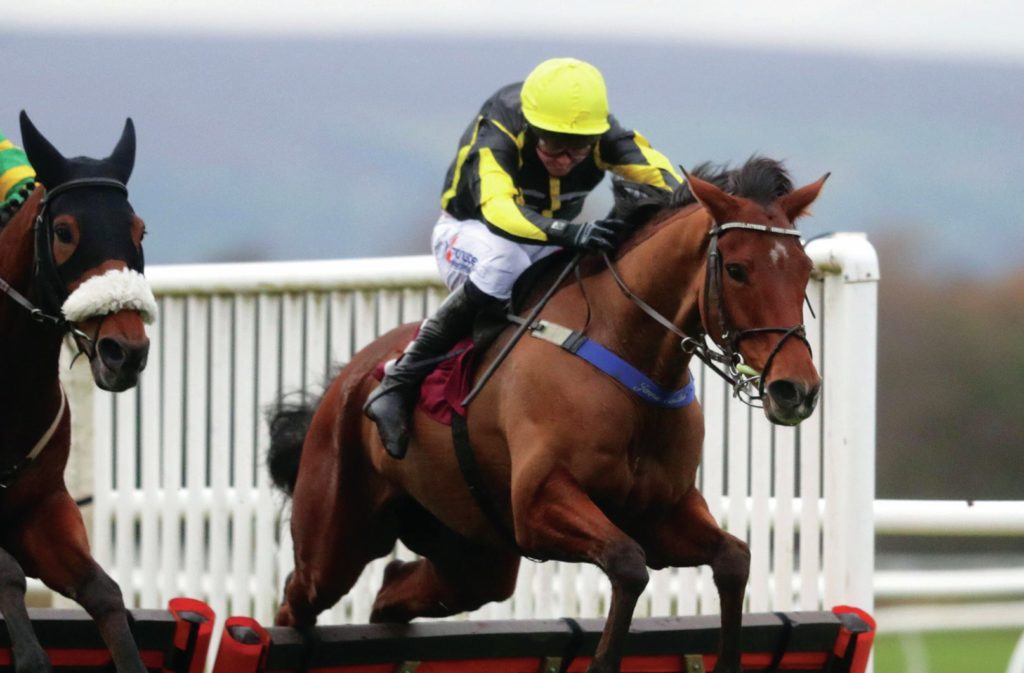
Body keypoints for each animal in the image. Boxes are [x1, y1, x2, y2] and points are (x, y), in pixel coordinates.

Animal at [0, 112, 155, 672]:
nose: (124, 351)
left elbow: (104, 591)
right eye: (65, 232)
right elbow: (8, 574)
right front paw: (31, 657)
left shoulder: (45, 506)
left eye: (139, 230)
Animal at [267, 156, 827, 673]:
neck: (627, 353)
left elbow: (733, 557)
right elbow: (628, 565)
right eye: (737, 269)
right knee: (296, 600)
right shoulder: (540, 503)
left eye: (804, 270)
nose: (795, 389)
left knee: (393, 592)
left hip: (474, 558)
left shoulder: (662, 510)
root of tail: (349, 378)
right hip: (333, 543)